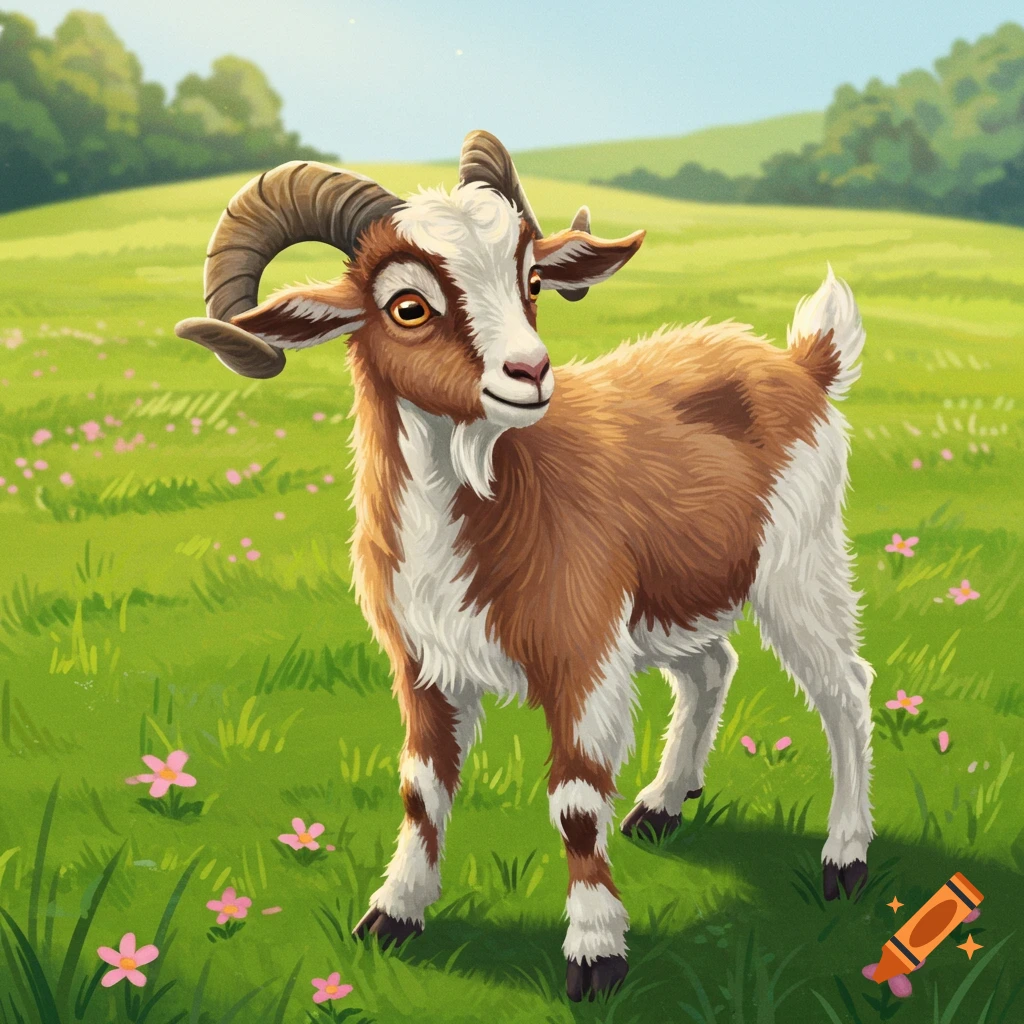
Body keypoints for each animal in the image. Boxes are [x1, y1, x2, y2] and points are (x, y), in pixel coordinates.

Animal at [176, 130, 875, 1002]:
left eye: (532, 279)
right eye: (408, 305)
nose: (532, 374)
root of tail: (800, 362)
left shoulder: (581, 658)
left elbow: (575, 803)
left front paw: (596, 953)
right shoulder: (422, 665)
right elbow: (421, 788)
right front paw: (394, 913)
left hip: (797, 566)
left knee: (844, 689)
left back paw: (845, 857)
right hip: (672, 600)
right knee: (712, 668)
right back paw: (663, 804)